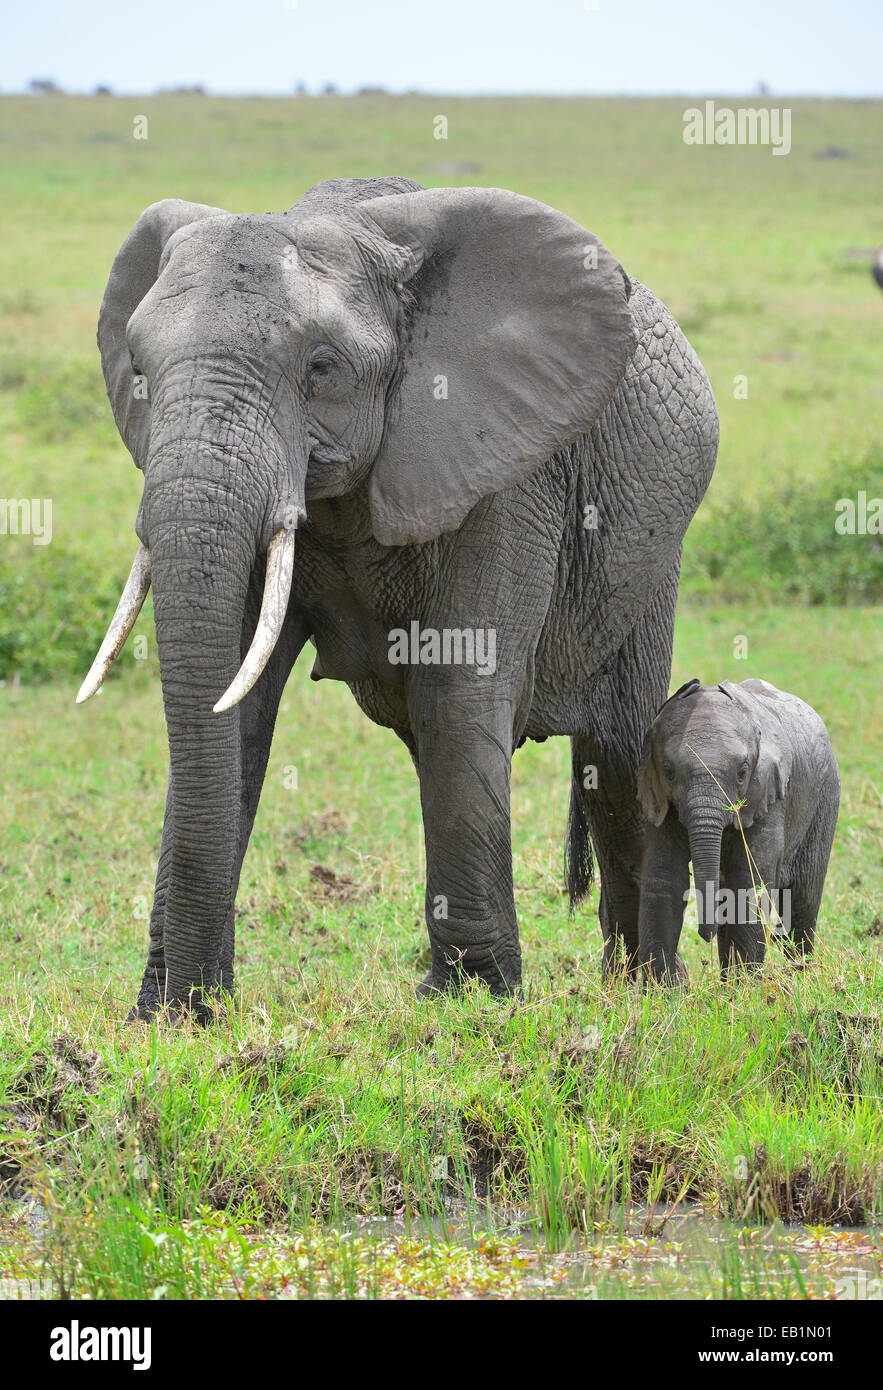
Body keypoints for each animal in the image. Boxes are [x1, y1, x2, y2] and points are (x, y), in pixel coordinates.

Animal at [76, 175, 719, 1021]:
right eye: (140, 371)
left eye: (321, 366)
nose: (189, 1007)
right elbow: (238, 705)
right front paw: (167, 1014)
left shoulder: (505, 469)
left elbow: (457, 686)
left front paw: (472, 1001)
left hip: (652, 546)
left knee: (615, 760)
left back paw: (647, 987)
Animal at [636, 677, 840, 982]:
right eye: (668, 771)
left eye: (743, 773)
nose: (704, 935)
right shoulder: (662, 801)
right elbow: (664, 877)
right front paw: (662, 990)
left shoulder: (768, 797)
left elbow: (748, 879)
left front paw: (745, 987)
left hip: (826, 799)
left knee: (802, 900)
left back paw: (800, 973)